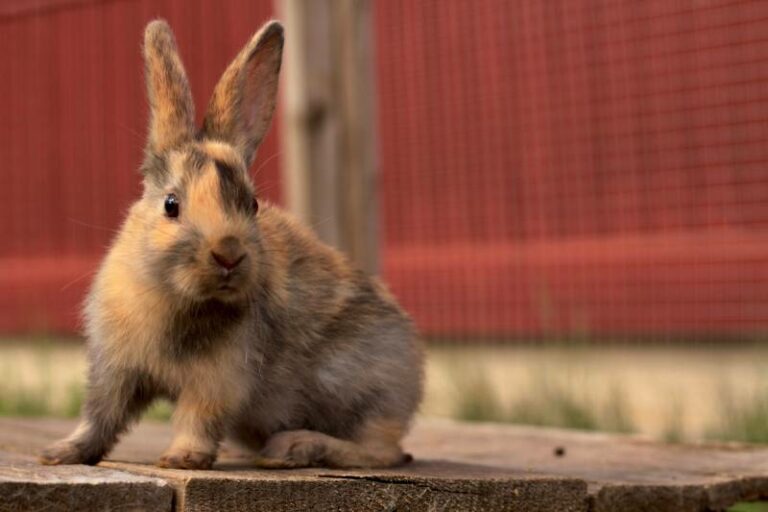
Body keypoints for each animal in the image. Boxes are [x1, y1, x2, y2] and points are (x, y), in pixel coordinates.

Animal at [38, 19, 423, 470]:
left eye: (251, 204)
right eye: (171, 204)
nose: (229, 255)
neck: (181, 299)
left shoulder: (218, 380)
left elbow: (197, 417)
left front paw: (182, 459)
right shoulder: (115, 371)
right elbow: (100, 417)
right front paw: (60, 454)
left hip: (364, 394)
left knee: (383, 451)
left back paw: (294, 448)